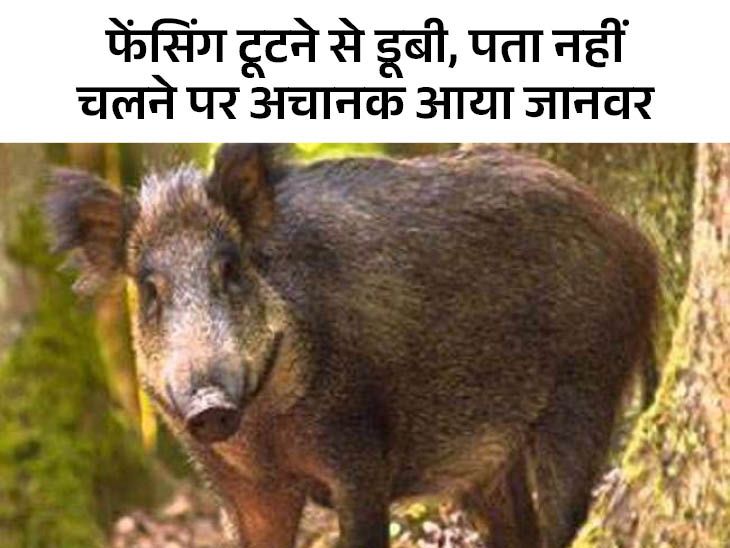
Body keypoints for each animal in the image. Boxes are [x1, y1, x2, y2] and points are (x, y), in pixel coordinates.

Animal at [45, 144, 658, 548]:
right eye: (150, 290)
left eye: (231, 268)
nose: (209, 405)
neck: (265, 434)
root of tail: (636, 240)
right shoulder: (236, 486)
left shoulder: (359, 453)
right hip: (491, 460)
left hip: (586, 384)